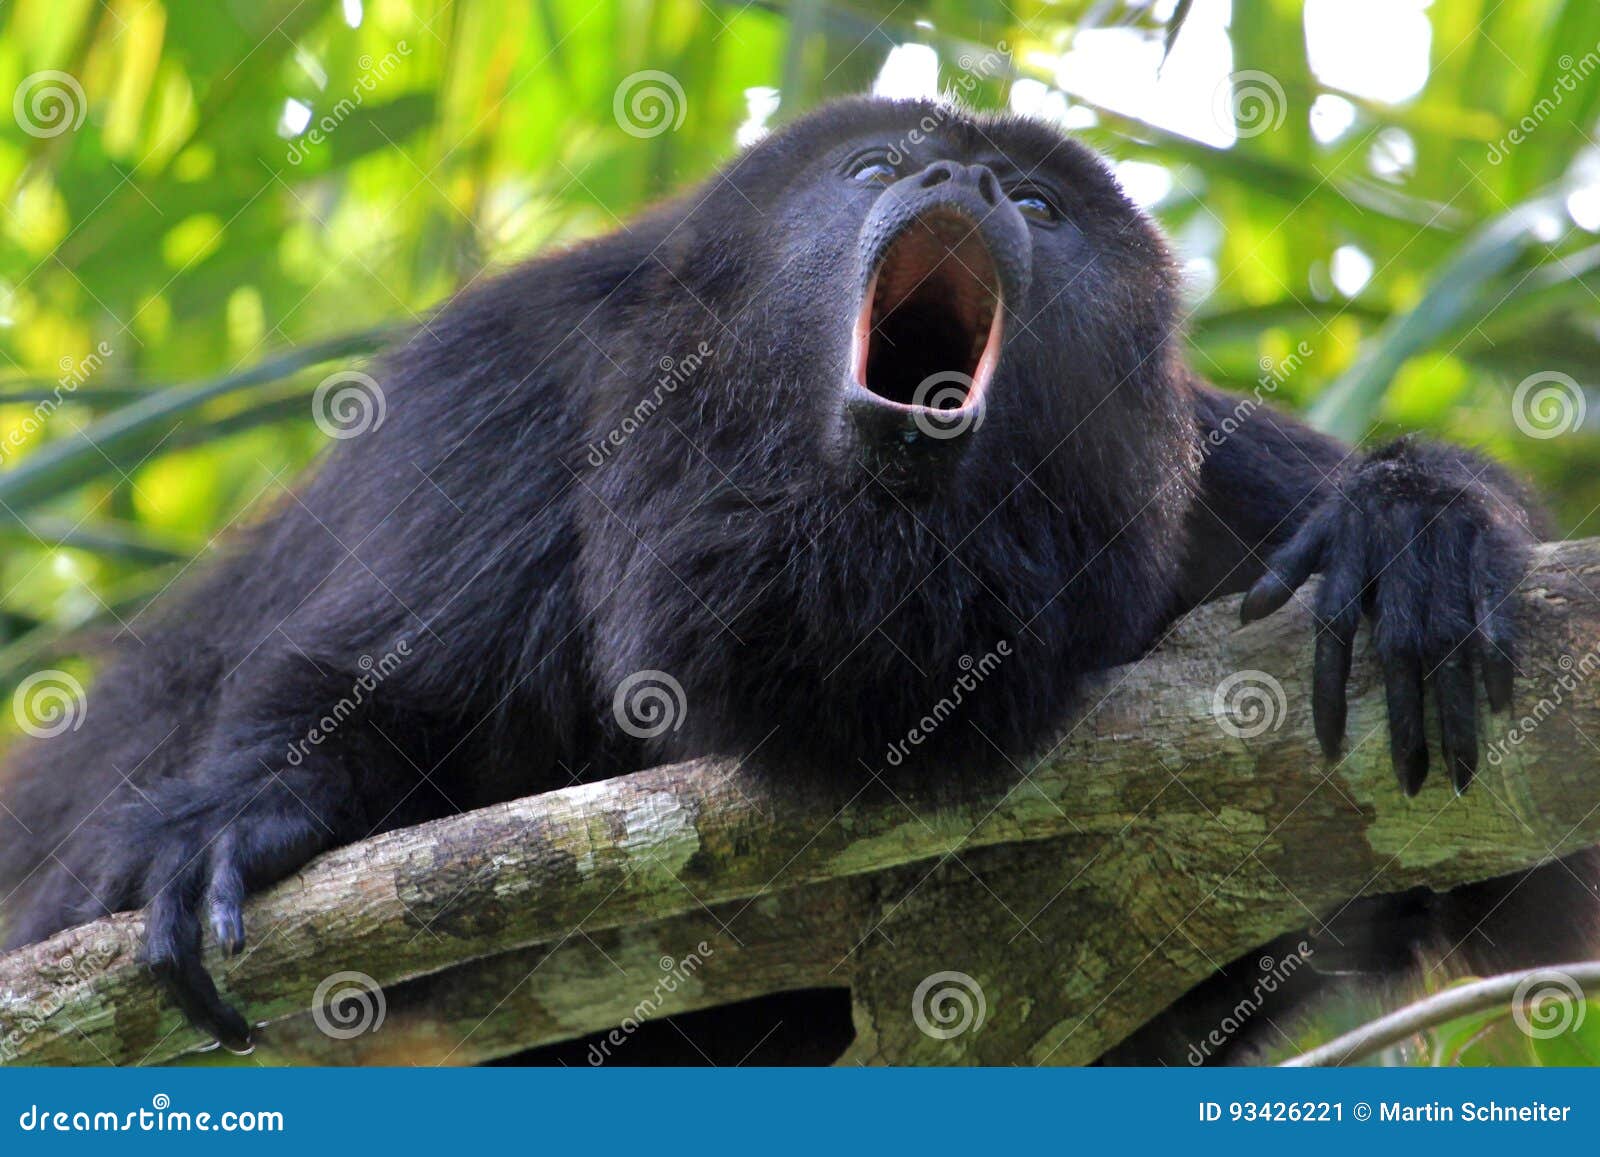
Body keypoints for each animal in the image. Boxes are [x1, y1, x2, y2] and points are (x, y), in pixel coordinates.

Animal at [0, 96, 1590, 1062]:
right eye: (879, 170)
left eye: (1035, 204)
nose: (960, 175)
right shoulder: (510, 379)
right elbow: (377, 688)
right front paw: (252, 812)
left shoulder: (1206, 480)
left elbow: (1508, 872)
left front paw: (1411, 529)